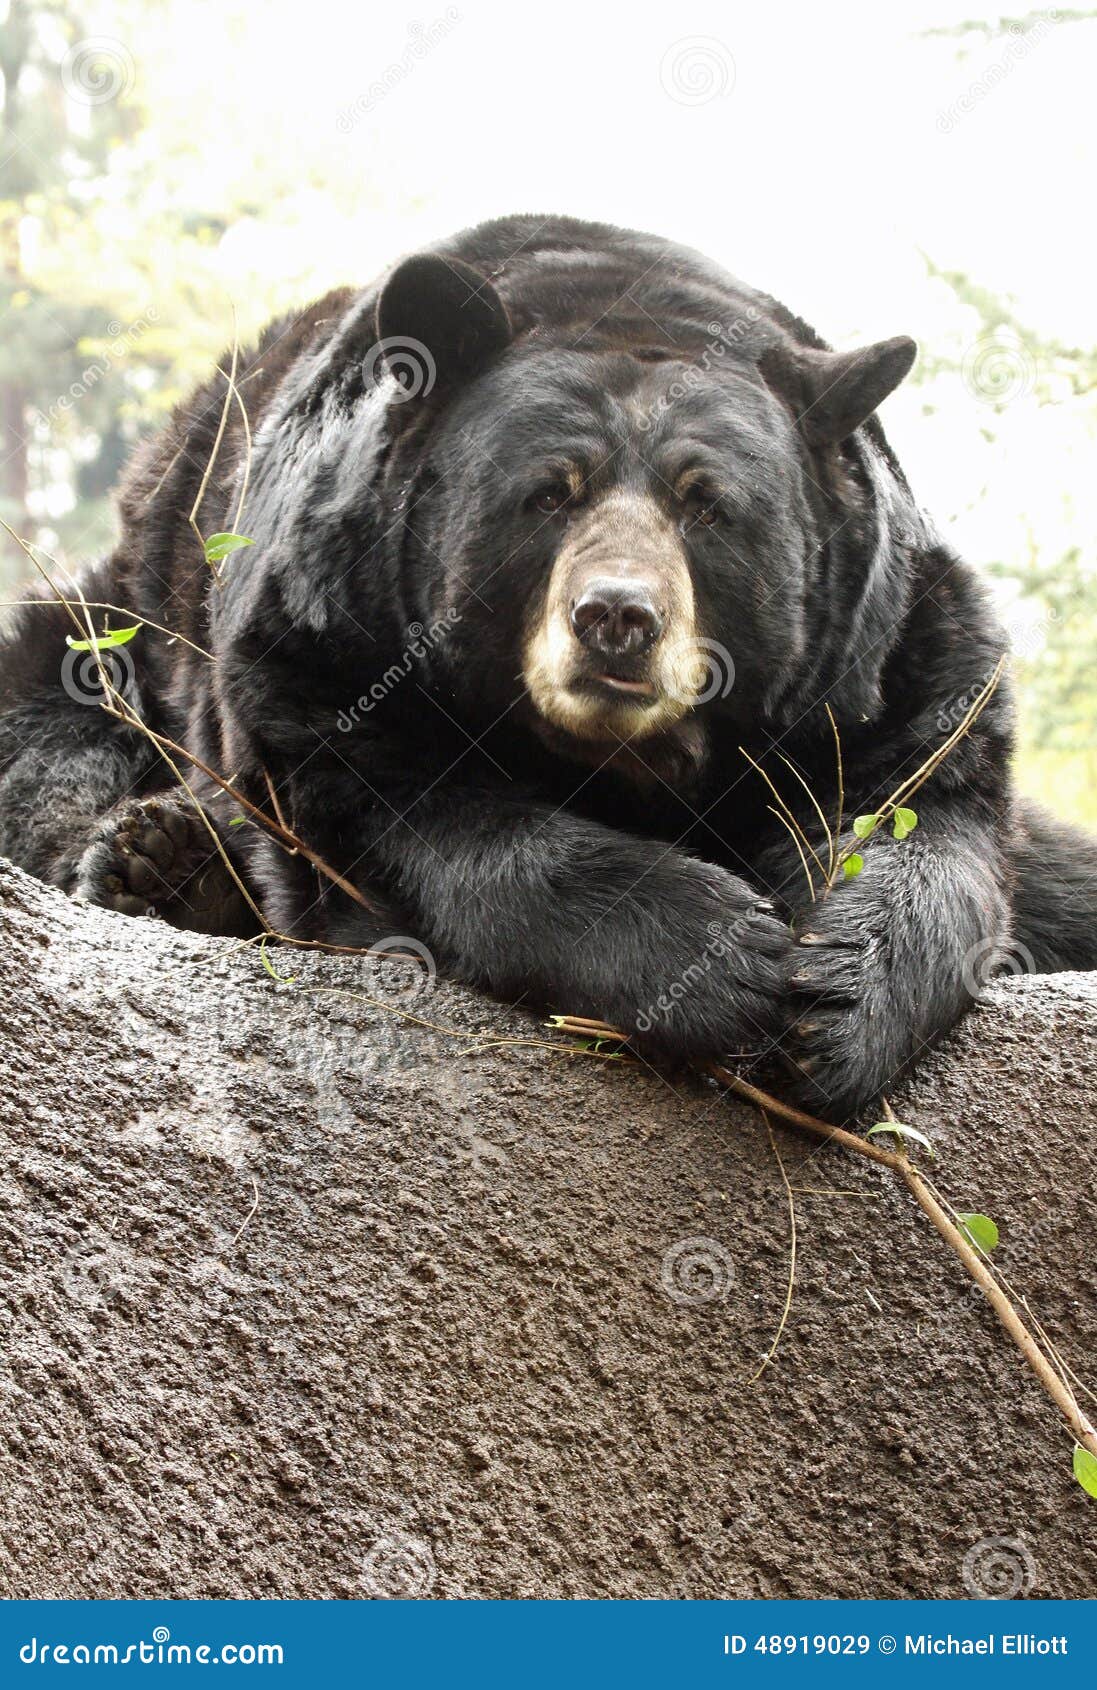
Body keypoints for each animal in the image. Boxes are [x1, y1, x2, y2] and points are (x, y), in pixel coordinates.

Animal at [1, 213, 1094, 1121]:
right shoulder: (328, 628)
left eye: (705, 504)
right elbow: (388, 814)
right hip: (131, 616)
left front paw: (835, 1007)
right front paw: (716, 955)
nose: (616, 618)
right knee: (56, 726)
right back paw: (153, 861)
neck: (630, 758)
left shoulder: (883, 646)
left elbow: (922, 805)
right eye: (550, 493)